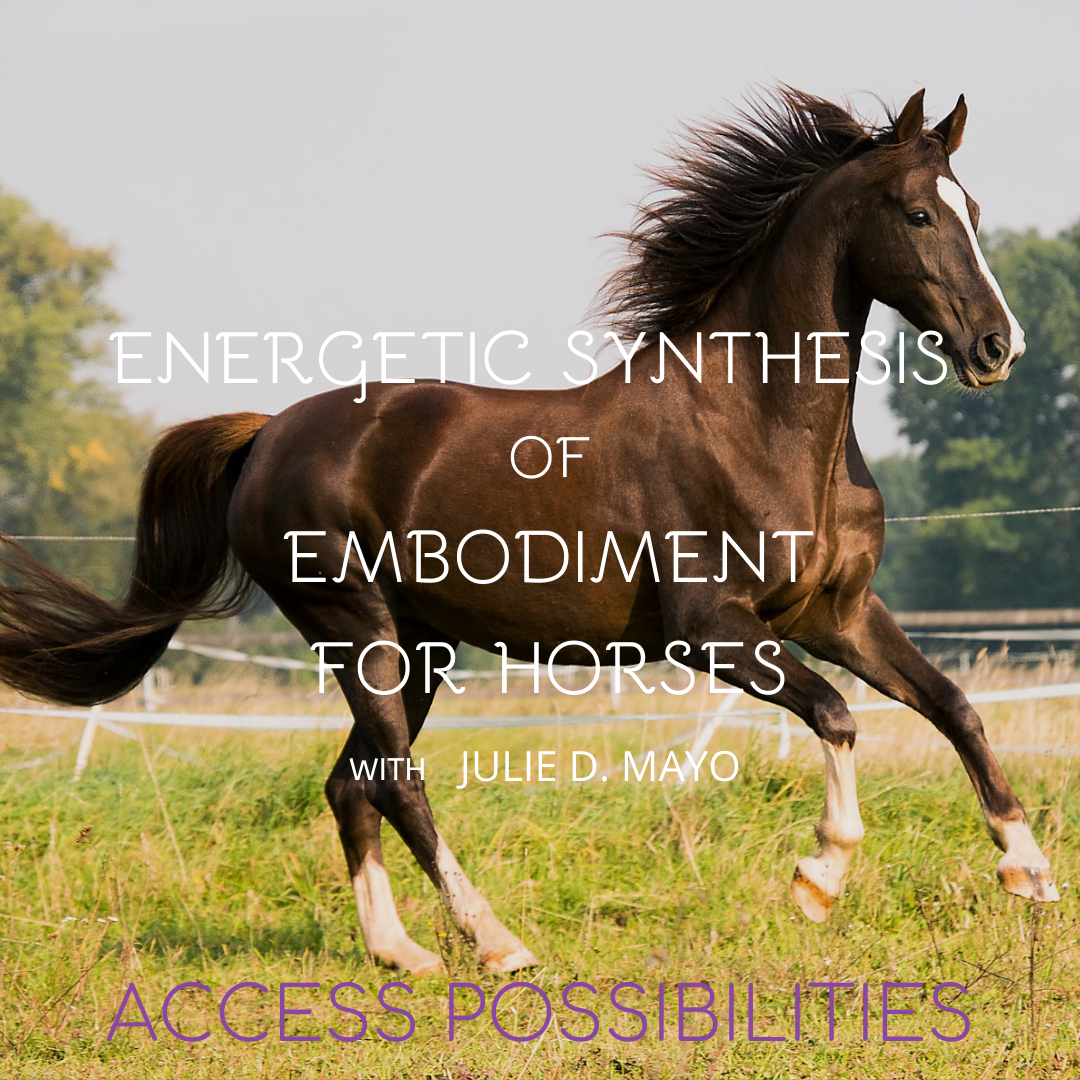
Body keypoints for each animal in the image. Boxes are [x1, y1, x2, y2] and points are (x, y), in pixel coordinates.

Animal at [0, 88, 1054, 975]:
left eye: (971, 208)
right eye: (918, 214)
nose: (997, 348)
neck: (756, 421)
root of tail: (266, 437)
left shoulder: (837, 615)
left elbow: (954, 707)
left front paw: (1028, 871)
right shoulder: (711, 631)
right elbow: (836, 715)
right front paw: (818, 880)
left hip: (418, 646)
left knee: (352, 784)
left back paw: (401, 954)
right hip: (356, 627)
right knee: (397, 784)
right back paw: (497, 943)